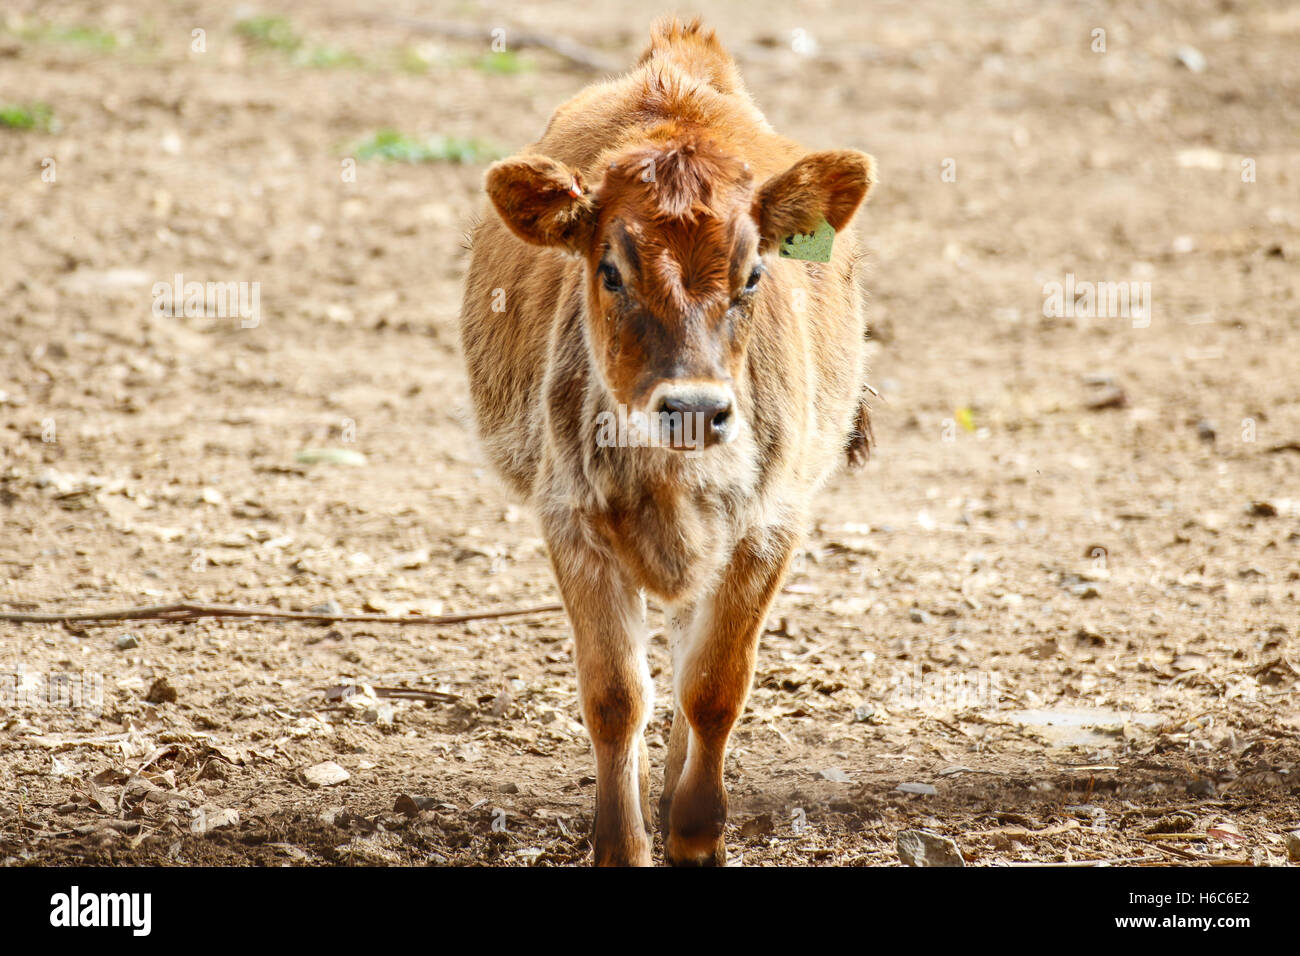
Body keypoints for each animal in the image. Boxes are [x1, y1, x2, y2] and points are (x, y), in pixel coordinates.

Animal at [460, 17, 876, 866]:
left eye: (754, 275)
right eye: (611, 271)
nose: (692, 406)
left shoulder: (770, 527)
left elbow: (714, 687)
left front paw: (694, 835)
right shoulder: (570, 519)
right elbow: (617, 696)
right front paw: (622, 842)